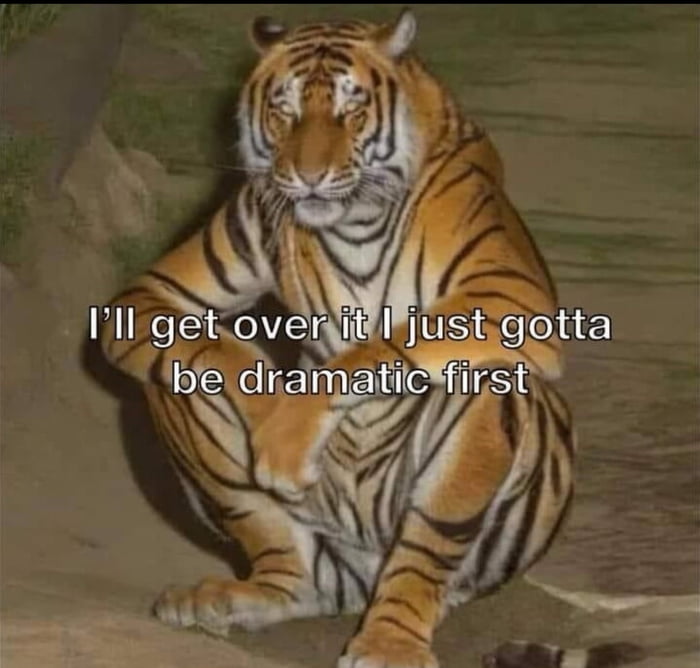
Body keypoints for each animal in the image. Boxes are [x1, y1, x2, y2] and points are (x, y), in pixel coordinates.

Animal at [100, 10, 645, 668]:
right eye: (284, 111)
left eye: (350, 109)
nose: (307, 177)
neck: (353, 222)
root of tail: (355, 581)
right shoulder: (162, 290)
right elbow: (210, 341)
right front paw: (269, 411)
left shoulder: (511, 295)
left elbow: (384, 346)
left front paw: (286, 425)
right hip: (287, 525)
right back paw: (233, 597)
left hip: (459, 484)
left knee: (425, 548)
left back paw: (390, 641)